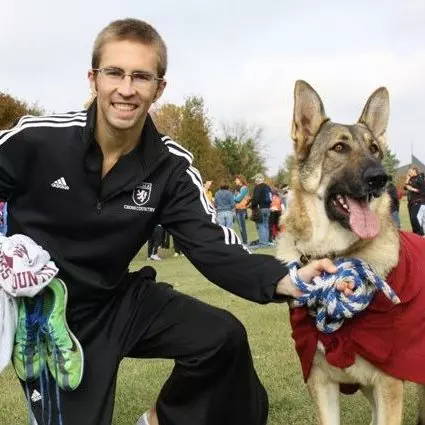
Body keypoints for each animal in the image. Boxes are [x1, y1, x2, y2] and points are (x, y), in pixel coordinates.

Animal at [276, 80, 424, 424]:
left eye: (374, 149)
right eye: (340, 148)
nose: (381, 178)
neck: (336, 254)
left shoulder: (389, 385)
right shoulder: (322, 384)